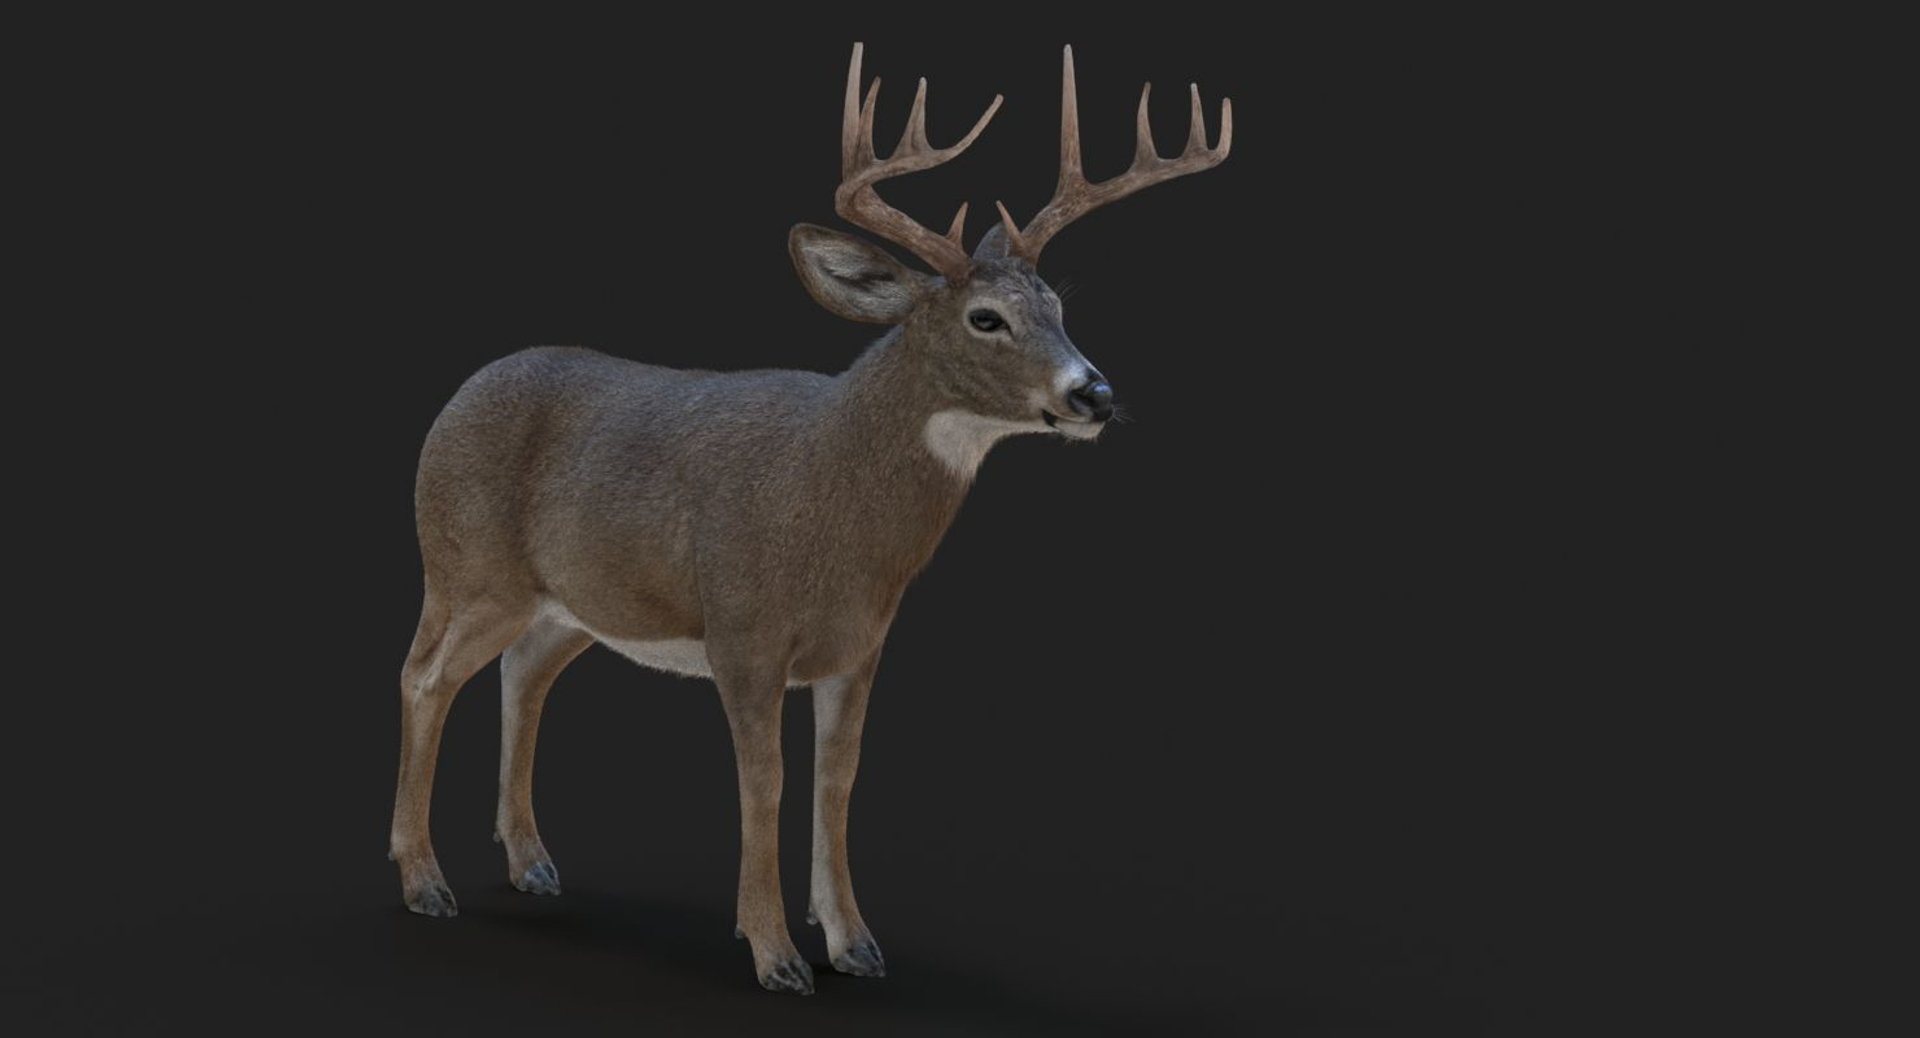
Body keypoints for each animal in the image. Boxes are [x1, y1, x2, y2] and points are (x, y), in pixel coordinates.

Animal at [390, 42, 1231, 995]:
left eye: (1059, 307)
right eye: (986, 317)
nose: (1095, 394)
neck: (837, 510)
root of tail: (455, 399)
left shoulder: (859, 647)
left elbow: (839, 781)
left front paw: (853, 941)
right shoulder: (743, 633)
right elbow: (767, 783)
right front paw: (774, 953)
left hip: (573, 602)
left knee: (522, 672)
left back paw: (532, 862)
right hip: (466, 567)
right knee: (424, 678)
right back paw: (423, 881)